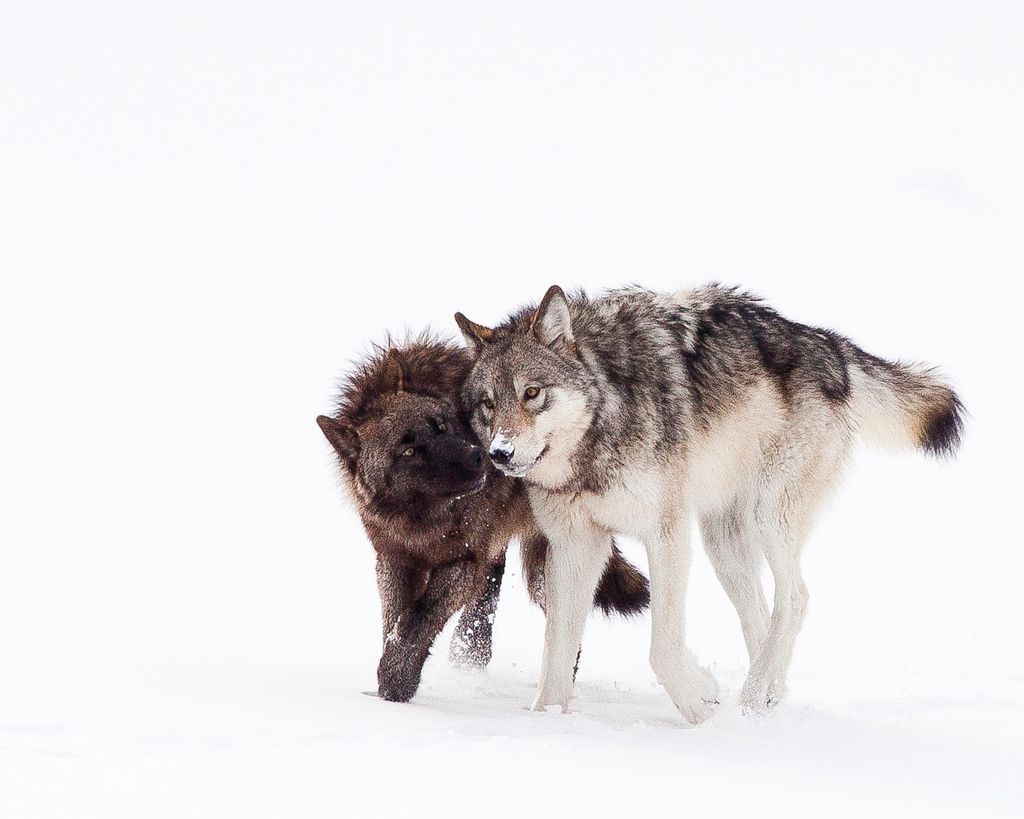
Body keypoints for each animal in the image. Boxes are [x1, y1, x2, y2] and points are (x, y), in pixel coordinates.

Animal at [316, 337, 649, 703]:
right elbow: (395, 621)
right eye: (408, 452)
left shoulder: (463, 559)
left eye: (441, 426)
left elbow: (419, 616)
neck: (422, 520)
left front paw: (396, 681)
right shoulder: (394, 560)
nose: (480, 457)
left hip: (544, 572)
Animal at [455, 285, 963, 723]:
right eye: (487, 404)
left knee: (795, 598)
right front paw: (547, 720)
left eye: (532, 393)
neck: (601, 422)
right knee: (763, 615)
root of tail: (828, 344)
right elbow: (556, 655)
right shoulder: (576, 546)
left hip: (767, 518)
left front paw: (698, 712)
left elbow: (661, 649)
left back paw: (751, 697)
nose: (500, 453)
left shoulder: (667, 535)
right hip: (724, 546)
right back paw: (766, 700)